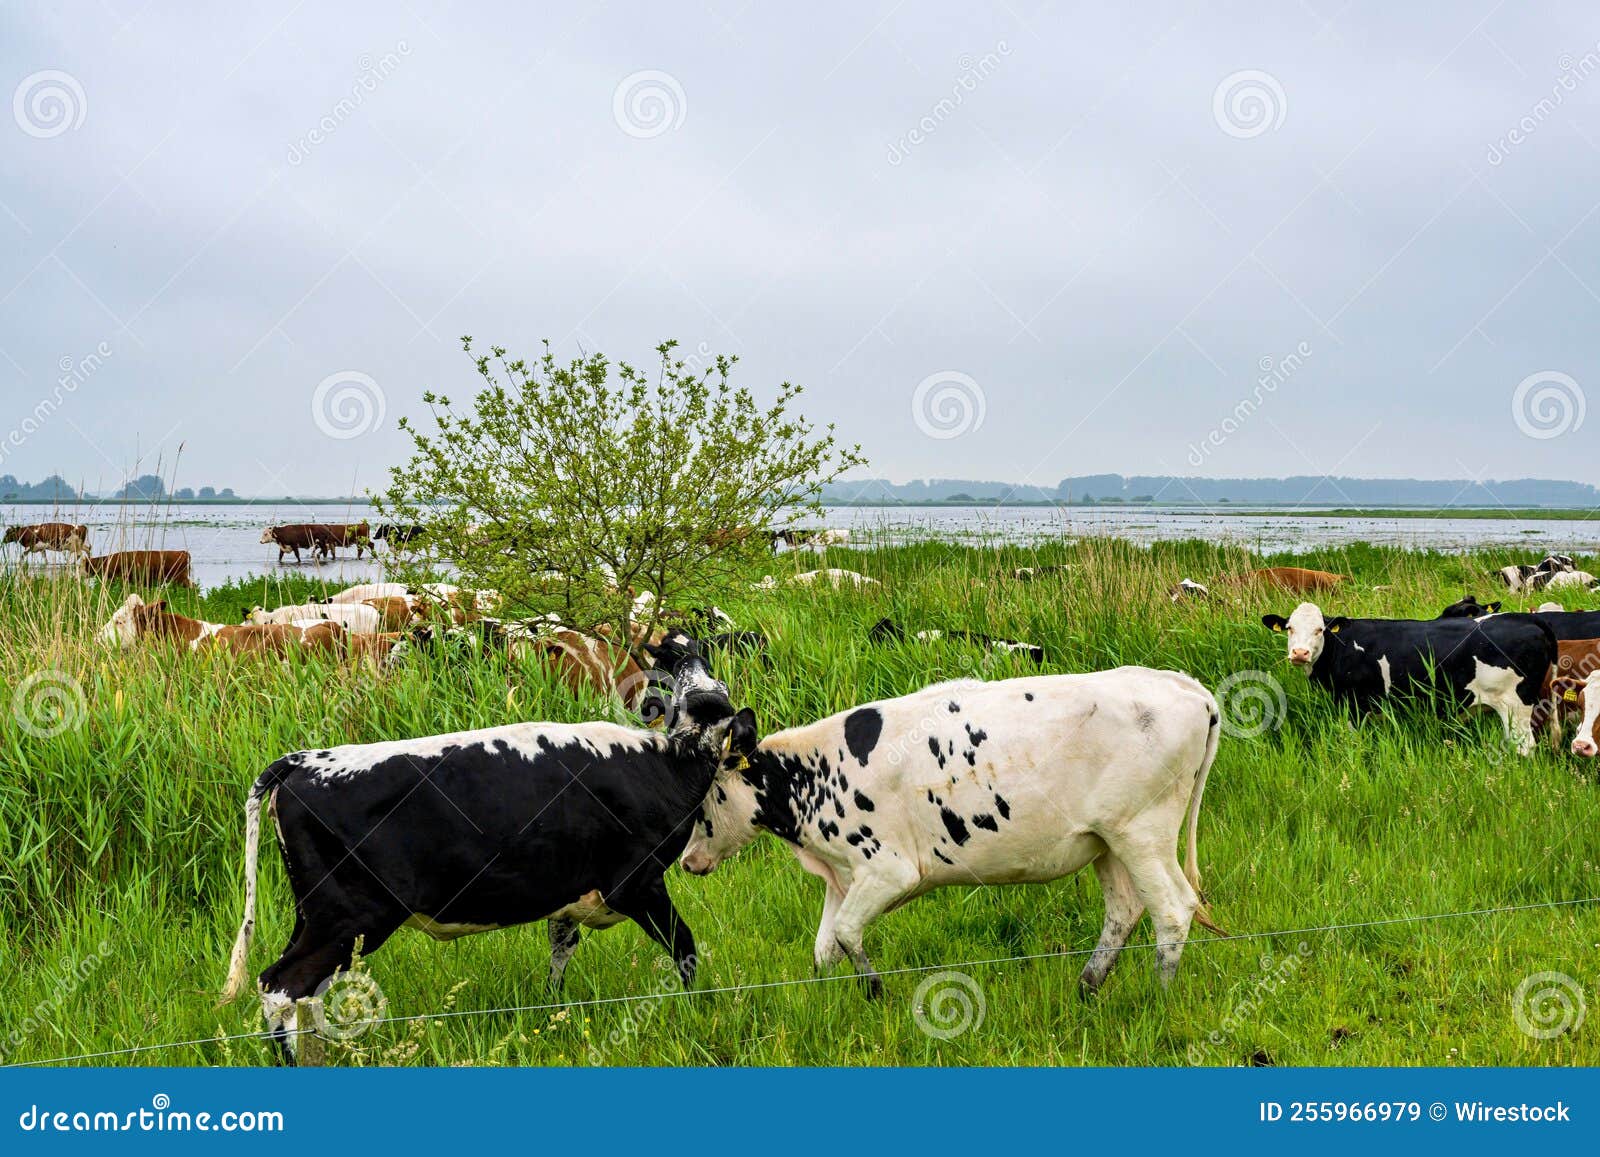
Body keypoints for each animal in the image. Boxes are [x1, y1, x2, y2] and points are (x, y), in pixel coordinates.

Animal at [217, 647, 754, 1063]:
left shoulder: (568, 897)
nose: (688, 656)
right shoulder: (639, 884)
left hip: (314, 916)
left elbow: (560, 955)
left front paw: (552, 1014)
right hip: (349, 918)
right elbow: (684, 947)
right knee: (281, 986)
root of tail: (303, 760)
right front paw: (693, 1010)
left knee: (299, 992)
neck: (668, 763)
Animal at [679, 667, 1221, 997]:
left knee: (1172, 910)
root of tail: (1186, 686)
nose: (687, 861)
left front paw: (875, 993)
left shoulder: (887, 870)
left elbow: (847, 933)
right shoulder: (844, 877)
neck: (815, 774)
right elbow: (824, 947)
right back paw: (1086, 988)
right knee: (1125, 912)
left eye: (706, 796)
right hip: (1108, 842)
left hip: (1142, 833)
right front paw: (825, 1004)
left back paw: (1158, 997)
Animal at [1261, 603, 1557, 753]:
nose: (1300, 653)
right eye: (1289, 628)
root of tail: (1526, 619)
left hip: (1515, 706)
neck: (1342, 647)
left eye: (1320, 629)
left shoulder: (1353, 705)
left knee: (1524, 745)